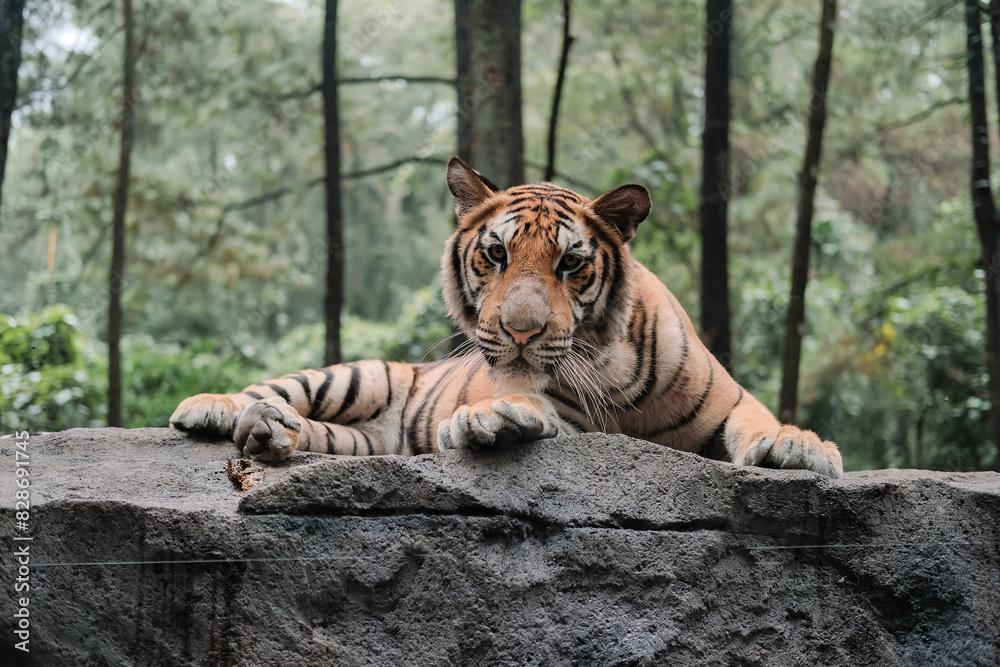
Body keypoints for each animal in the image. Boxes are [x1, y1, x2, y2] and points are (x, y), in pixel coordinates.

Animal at [170, 157, 843, 479]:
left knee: (320, 438)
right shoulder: (575, 419)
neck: (615, 366)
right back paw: (216, 409)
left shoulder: (731, 399)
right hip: (357, 376)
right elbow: (545, 416)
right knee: (268, 390)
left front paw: (799, 446)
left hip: (361, 443)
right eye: (495, 254)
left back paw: (272, 431)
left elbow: (759, 421)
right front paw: (494, 418)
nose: (522, 331)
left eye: (572, 262)